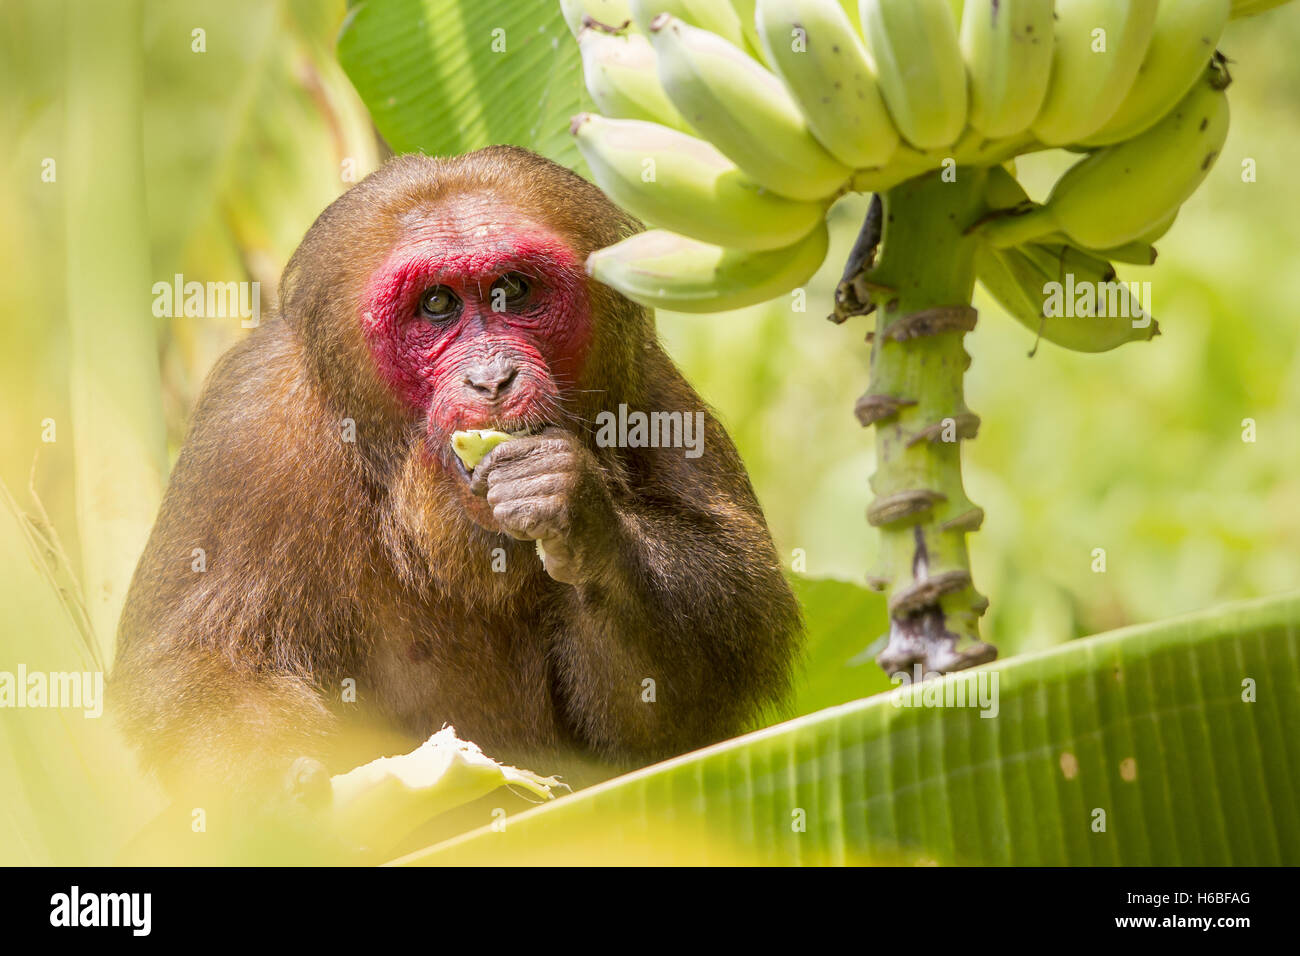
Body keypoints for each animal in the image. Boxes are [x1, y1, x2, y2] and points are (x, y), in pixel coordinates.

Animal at [111, 147, 801, 806]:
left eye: (514, 290)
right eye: (437, 304)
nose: (492, 378)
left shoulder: (650, 391)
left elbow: (696, 677)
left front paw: (577, 511)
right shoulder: (247, 431)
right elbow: (201, 664)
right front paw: (272, 792)